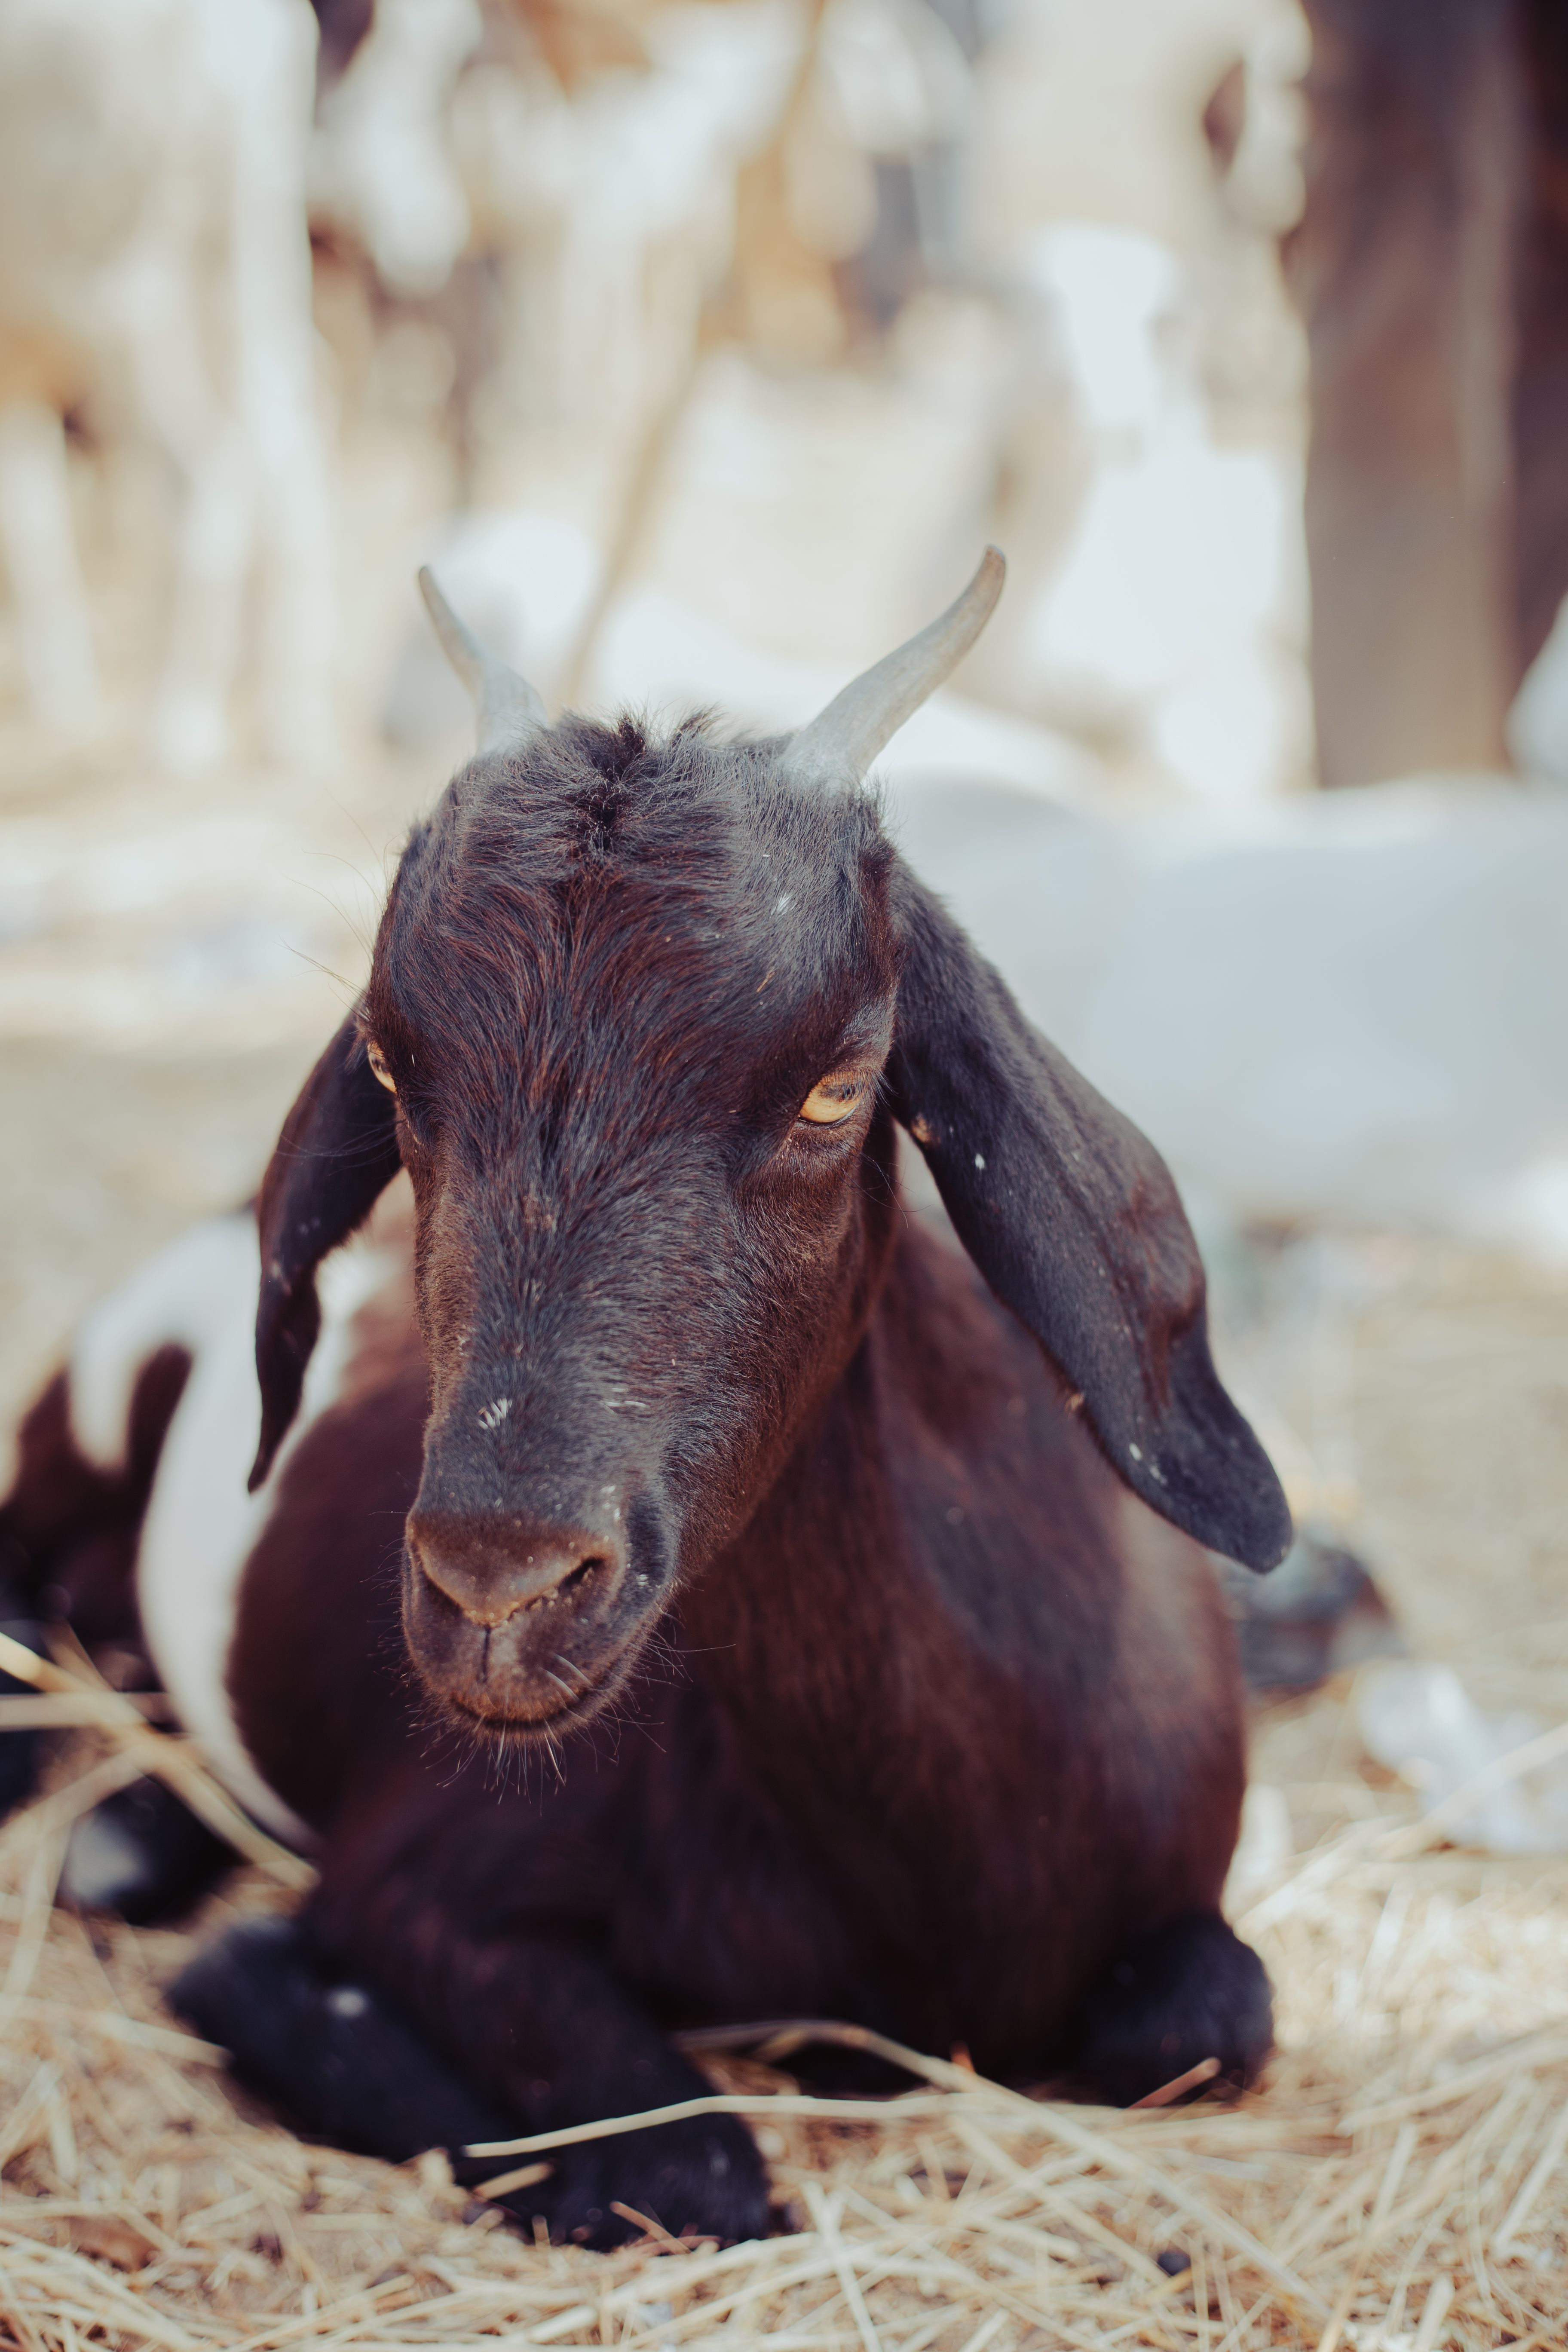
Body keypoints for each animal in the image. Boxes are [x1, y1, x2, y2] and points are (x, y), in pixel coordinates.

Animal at [0, 550, 1290, 2248]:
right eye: (392, 1072)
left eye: (838, 1085)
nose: (499, 1587)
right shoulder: (424, 1878)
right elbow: (688, 2164)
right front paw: (268, 1987)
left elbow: (1207, 2019)